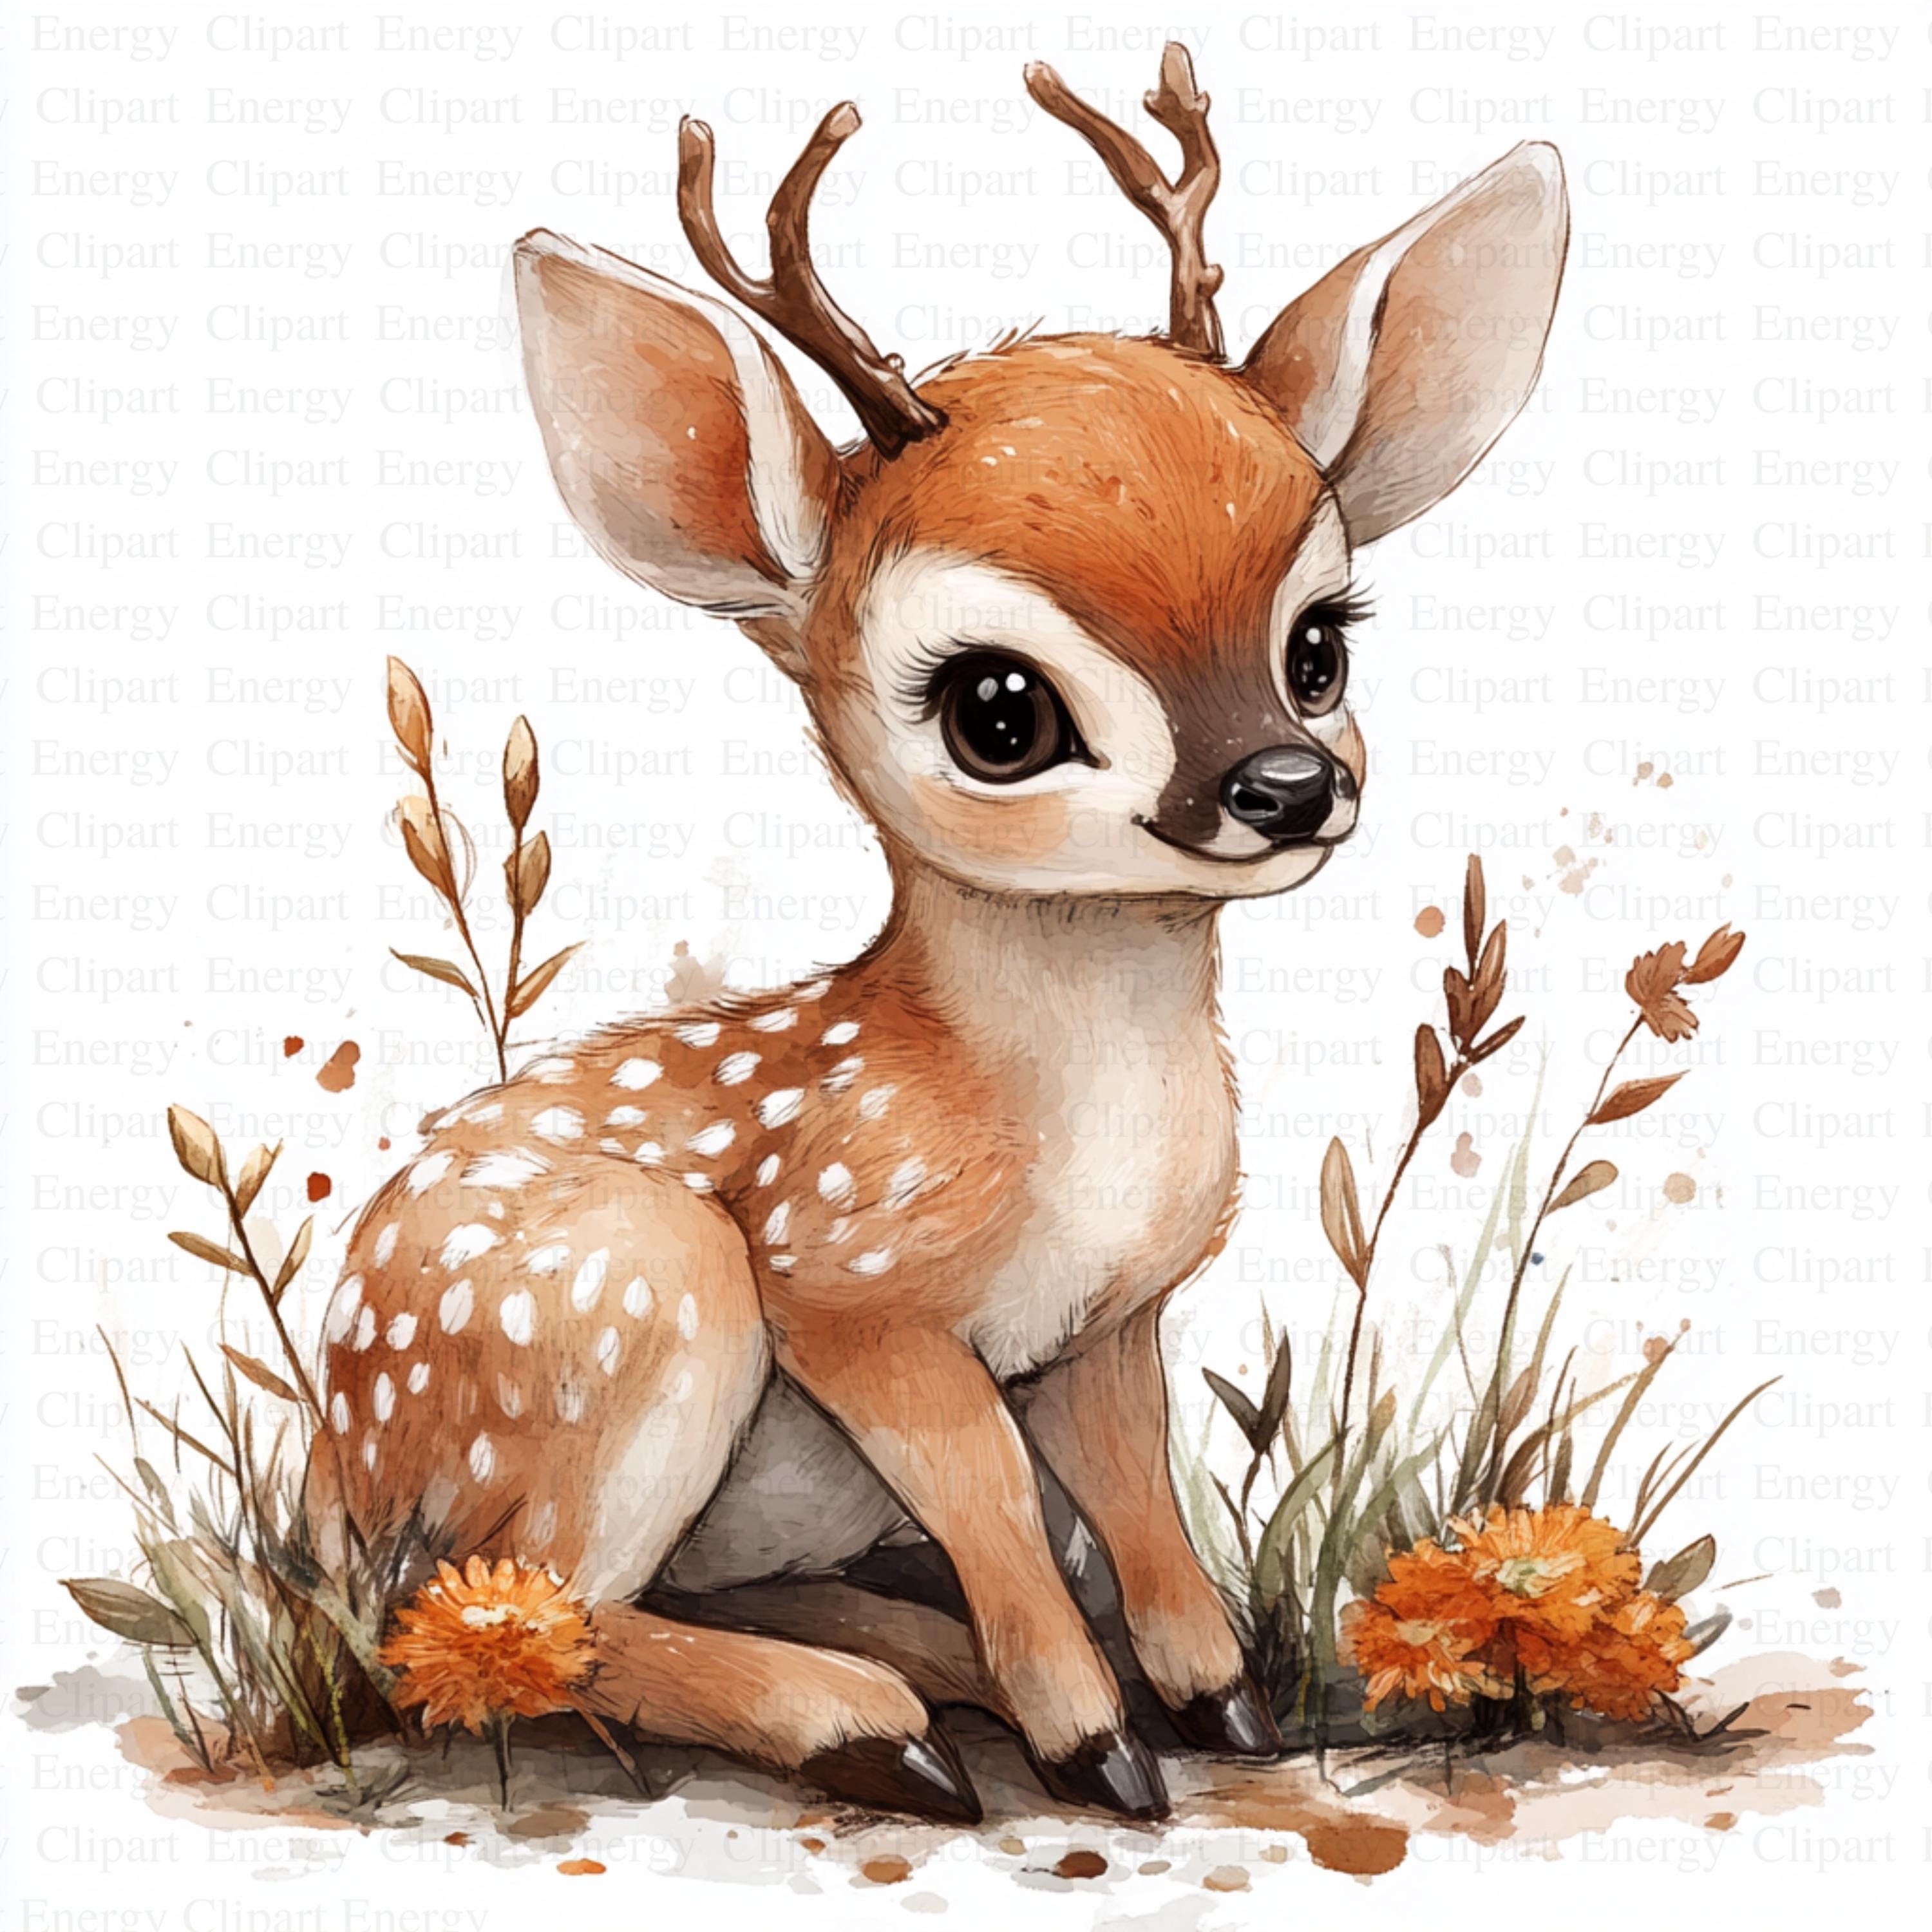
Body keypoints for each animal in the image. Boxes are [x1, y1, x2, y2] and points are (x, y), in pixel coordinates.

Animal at [313, 47, 1566, 1823]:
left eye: (1318, 645)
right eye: (997, 709)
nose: (1284, 783)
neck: (1057, 1120)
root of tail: (328, 1484)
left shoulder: (1114, 1314)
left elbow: (1132, 1494)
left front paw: (1216, 1698)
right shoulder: (849, 1292)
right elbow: (988, 1496)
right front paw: (1095, 1745)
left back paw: (919, 1668)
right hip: (633, 1305)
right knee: (503, 1630)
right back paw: (875, 1725)